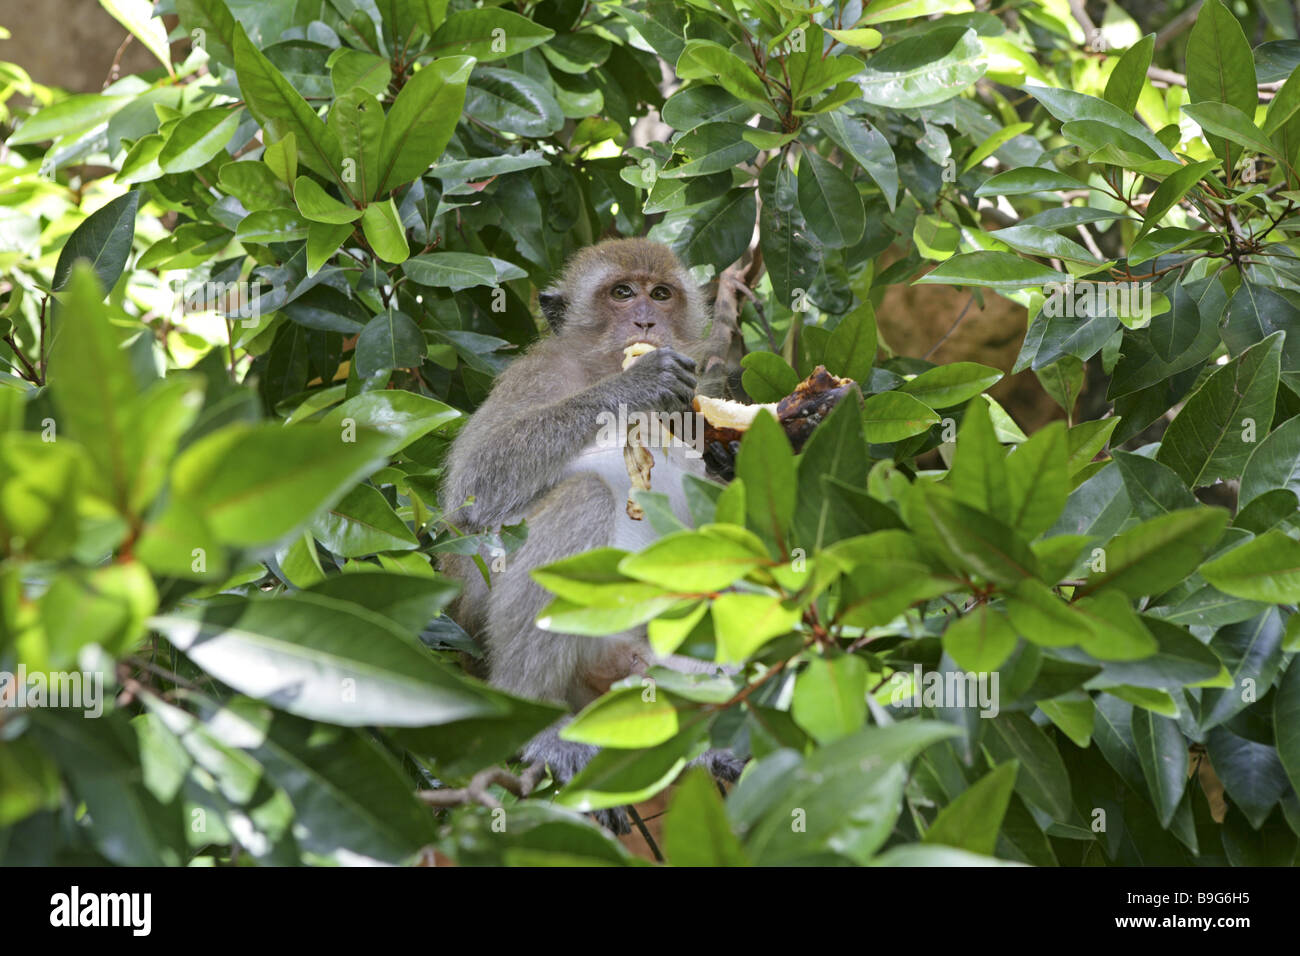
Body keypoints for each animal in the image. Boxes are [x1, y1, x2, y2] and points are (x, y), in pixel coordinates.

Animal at [441, 238, 746, 831]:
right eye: (622, 293)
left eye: (661, 294)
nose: (647, 320)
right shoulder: (536, 375)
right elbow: (472, 491)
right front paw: (634, 384)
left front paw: (730, 453)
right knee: (582, 500)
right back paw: (537, 726)